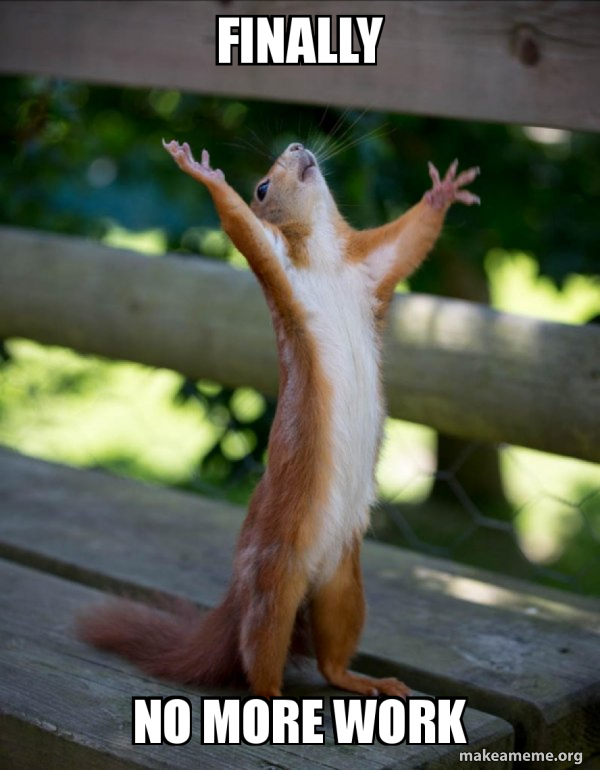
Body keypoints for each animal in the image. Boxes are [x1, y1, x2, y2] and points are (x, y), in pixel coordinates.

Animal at [78, 139, 479, 698]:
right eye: (262, 187)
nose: (296, 146)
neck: (327, 258)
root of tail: (238, 595)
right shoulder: (277, 264)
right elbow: (240, 226)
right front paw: (203, 173)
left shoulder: (372, 267)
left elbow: (410, 239)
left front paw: (442, 193)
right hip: (273, 583)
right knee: (259, 657)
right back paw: (275, 697)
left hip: (344, 586)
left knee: (331, 656)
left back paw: (364, 680)